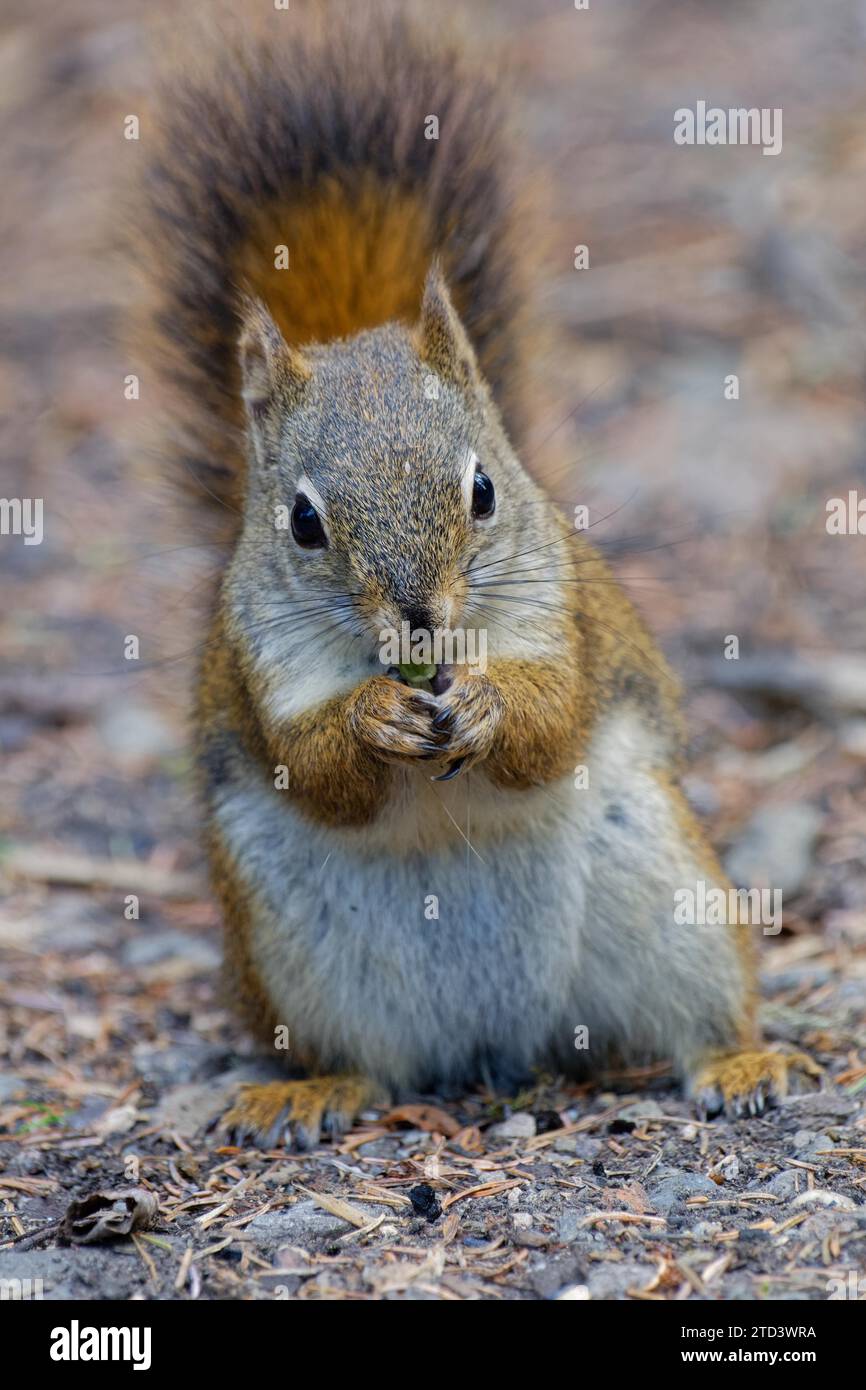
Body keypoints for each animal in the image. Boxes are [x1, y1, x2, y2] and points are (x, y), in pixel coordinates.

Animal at [135, 1, 819, 1147]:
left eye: (486, 491)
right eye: (303, 523)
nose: (418, 619)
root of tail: (497, 1039)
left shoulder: (564, 619)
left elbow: (553, 723)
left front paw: (495, 705)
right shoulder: (262, 663)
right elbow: (311, 767)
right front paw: (373, 716)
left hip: (666, 895)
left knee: (697, 1014)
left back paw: (739, 1060)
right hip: (290, 951)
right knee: (363, 1062)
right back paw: (311, 1088)